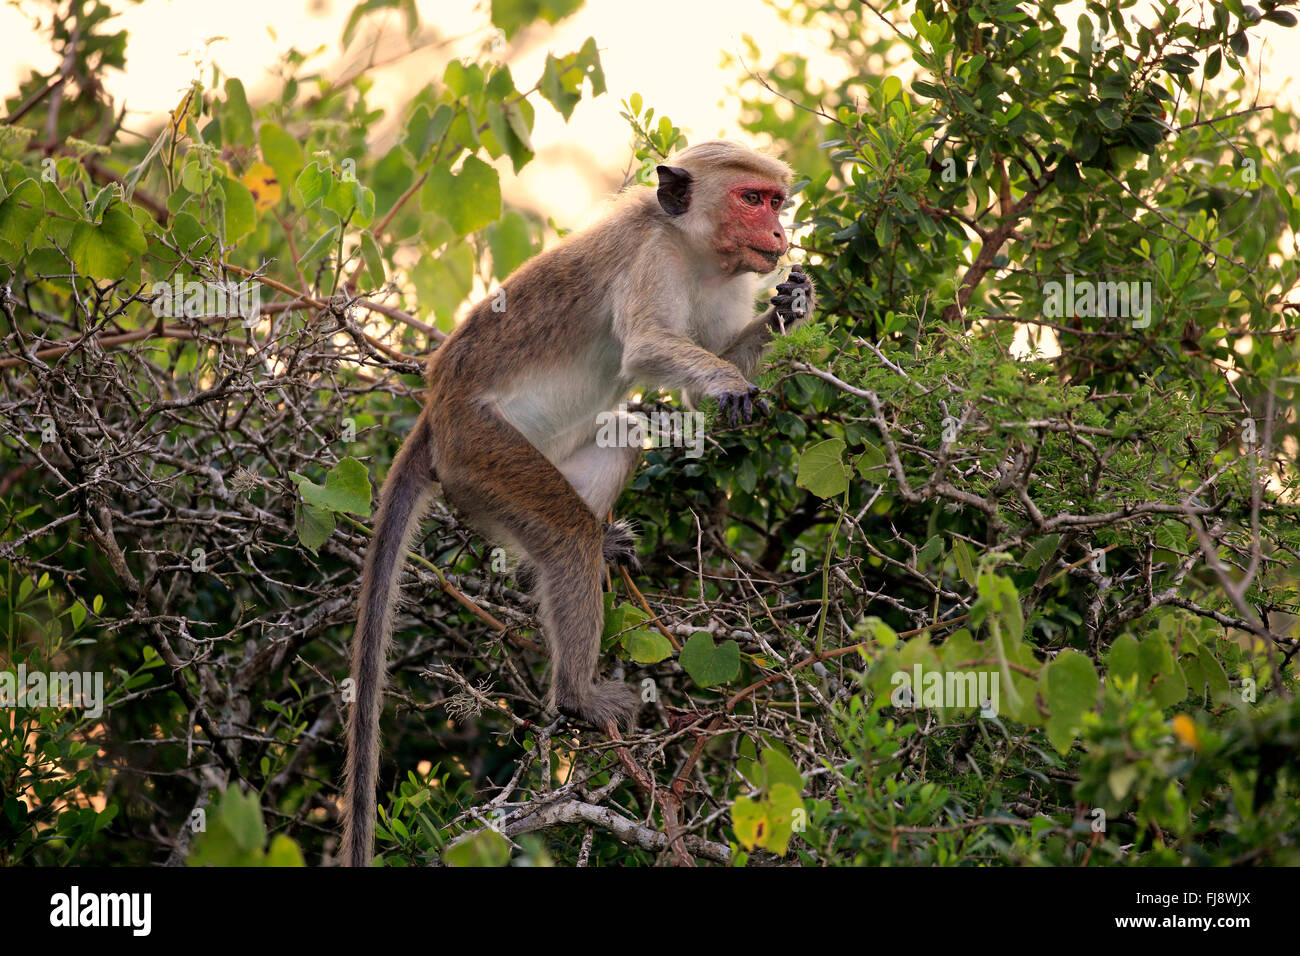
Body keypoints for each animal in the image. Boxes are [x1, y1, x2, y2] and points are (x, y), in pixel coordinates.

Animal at [342, 140, 815, 866]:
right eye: (752, 199)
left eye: (775, 201)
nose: (780, 235)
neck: (694, 248)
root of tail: (436, 410)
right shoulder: (653, 261)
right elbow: (649, 348)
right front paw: (733, 383)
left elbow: (707, 369)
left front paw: (794, 306)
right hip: (483, 451)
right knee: (563, 530)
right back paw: (577, 694)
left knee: (619, 442)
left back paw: (584, 545)